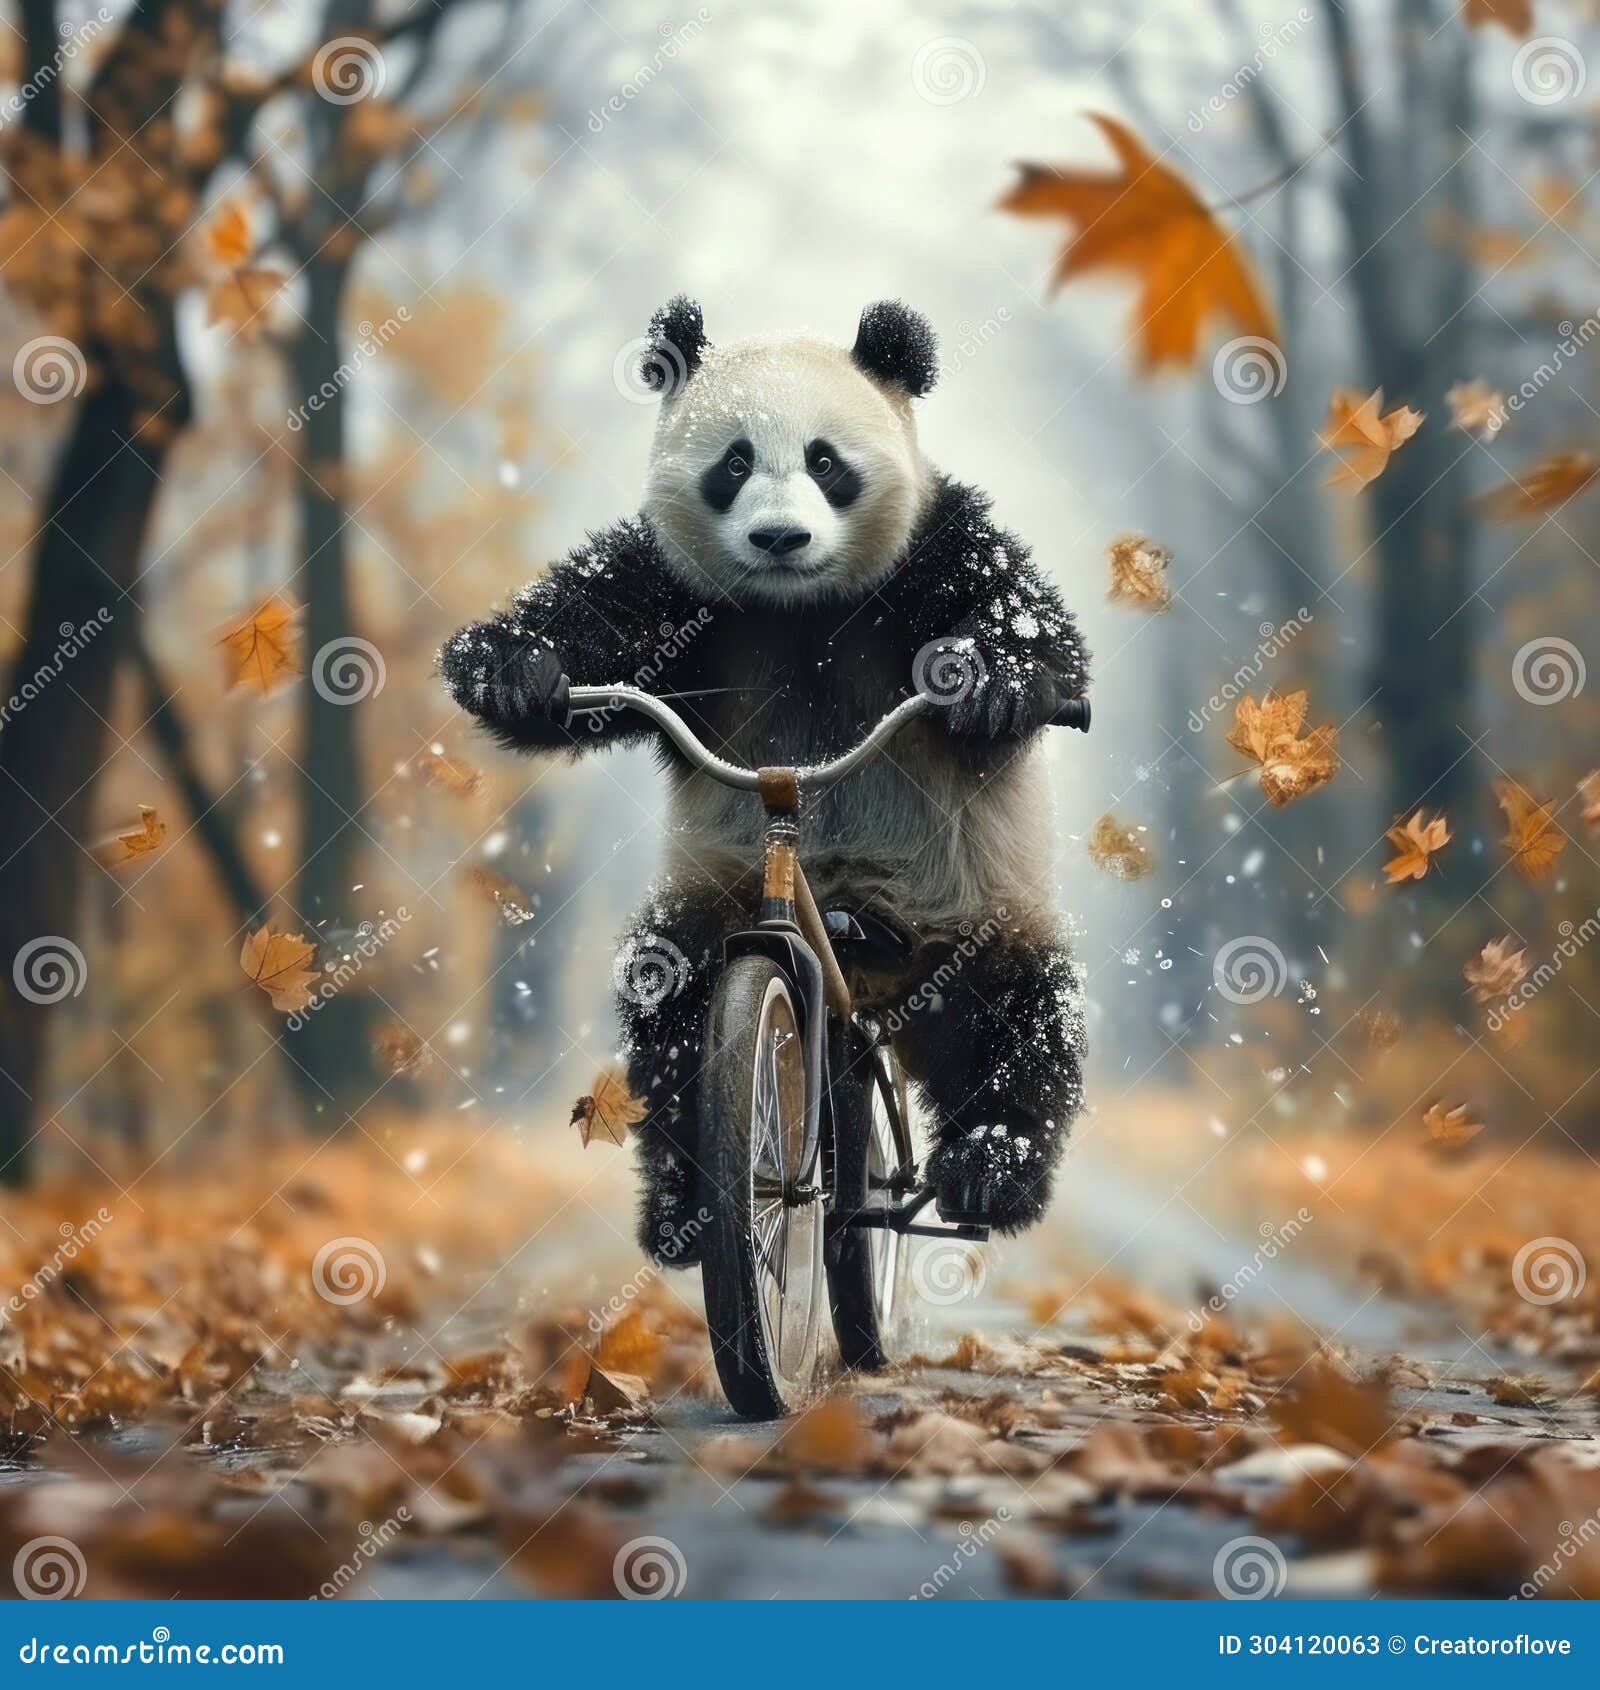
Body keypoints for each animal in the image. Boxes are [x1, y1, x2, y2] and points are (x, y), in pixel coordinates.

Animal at [441, 297, 1089, 1264]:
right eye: (734, 462)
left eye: (826, 461)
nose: (780, 537)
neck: (801, 608)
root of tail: (876, 966)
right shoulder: (682, 597)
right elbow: (592, 615)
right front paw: (513, 669)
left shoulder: (930, 546)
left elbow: (1029, 621)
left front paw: (993, 679)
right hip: (723, 899)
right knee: (671, 1001)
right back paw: (683, 1208)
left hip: (973, 908)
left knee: (1020, 1019)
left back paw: (990, 1166)